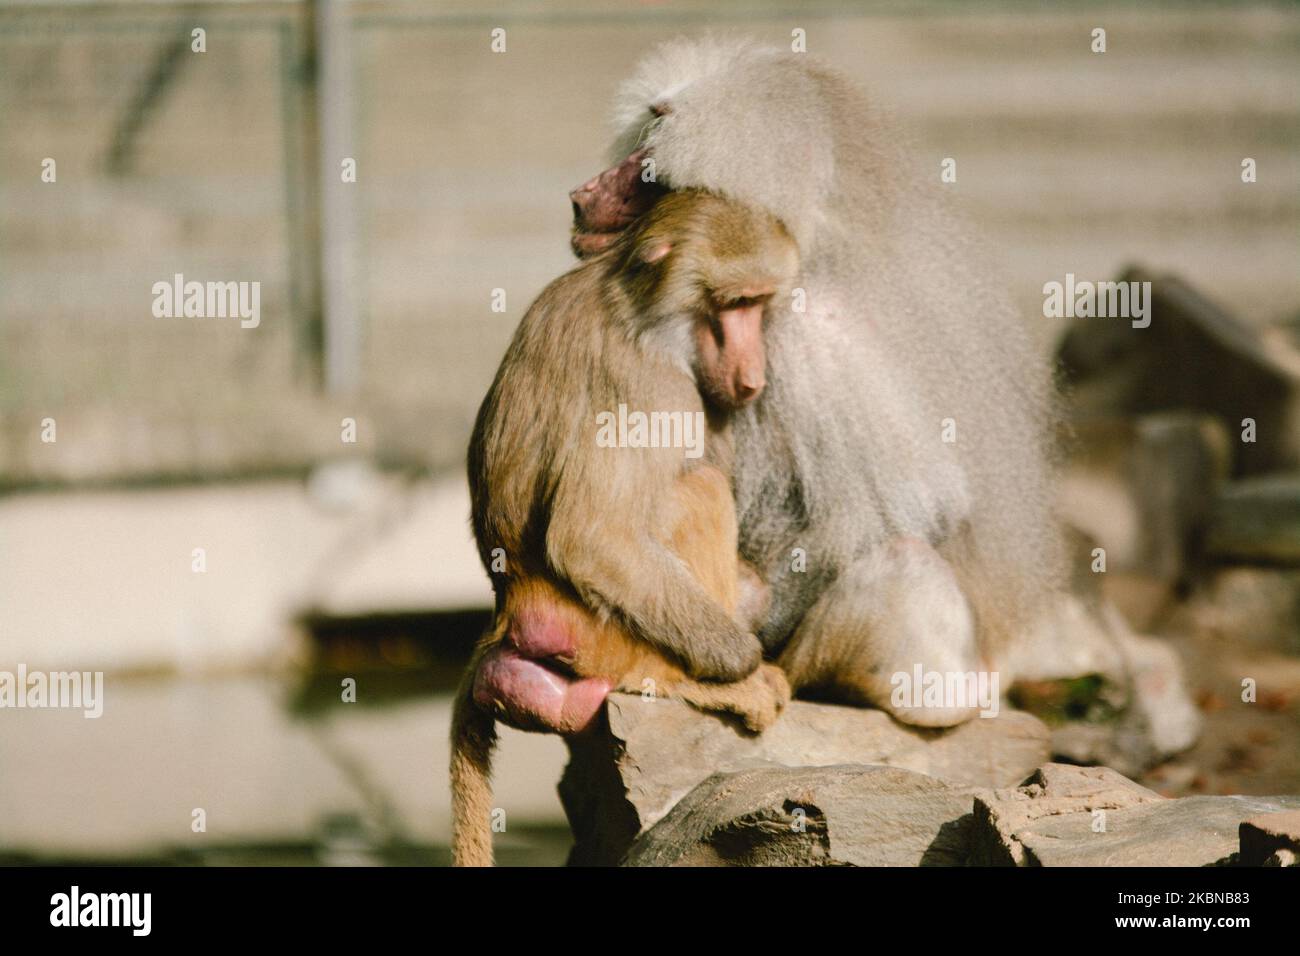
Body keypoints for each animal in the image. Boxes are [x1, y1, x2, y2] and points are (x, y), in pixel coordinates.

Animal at [451, 189, 799, 867]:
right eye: (733, 303)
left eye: (759, 302)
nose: (754, 374)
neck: (635, 302)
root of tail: (513, 606)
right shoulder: (650, 386)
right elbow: (590, 537)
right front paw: (742, 664)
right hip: (608, 638)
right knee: (700, 488)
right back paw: (704, 685)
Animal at [568, 36, 1066, 727]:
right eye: (645, 133)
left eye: (649, 168)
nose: (582, 194)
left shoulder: (817, 336)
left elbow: (917, 502)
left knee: (904, 568)